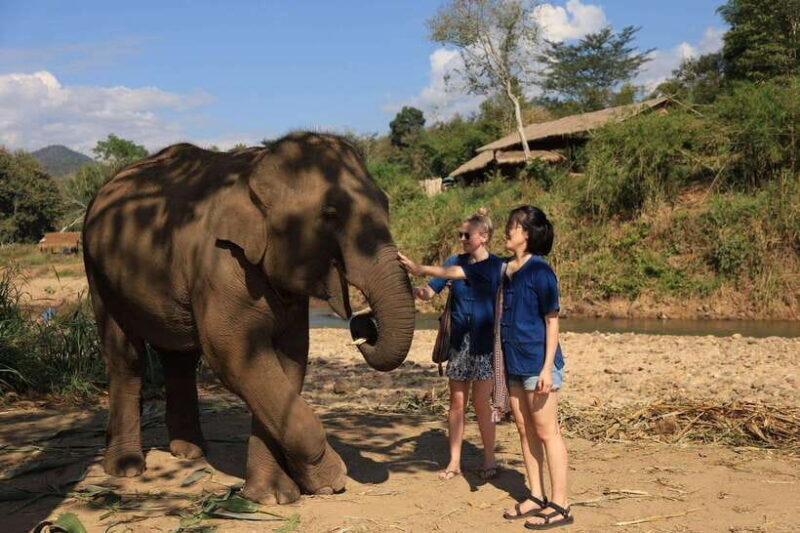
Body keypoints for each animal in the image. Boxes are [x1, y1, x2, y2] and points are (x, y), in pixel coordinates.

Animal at [81, 132, 415, 504]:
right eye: (330, 214)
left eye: (386, 204)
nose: (363, 324)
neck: (256, 169)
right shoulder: (220, 263)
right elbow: (234, 357)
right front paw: (328, 480)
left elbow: (288, 361)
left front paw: (273, 495)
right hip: (98, 271)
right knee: (126, 356)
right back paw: (126, 468)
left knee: (179, 358)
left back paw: (190, 452)